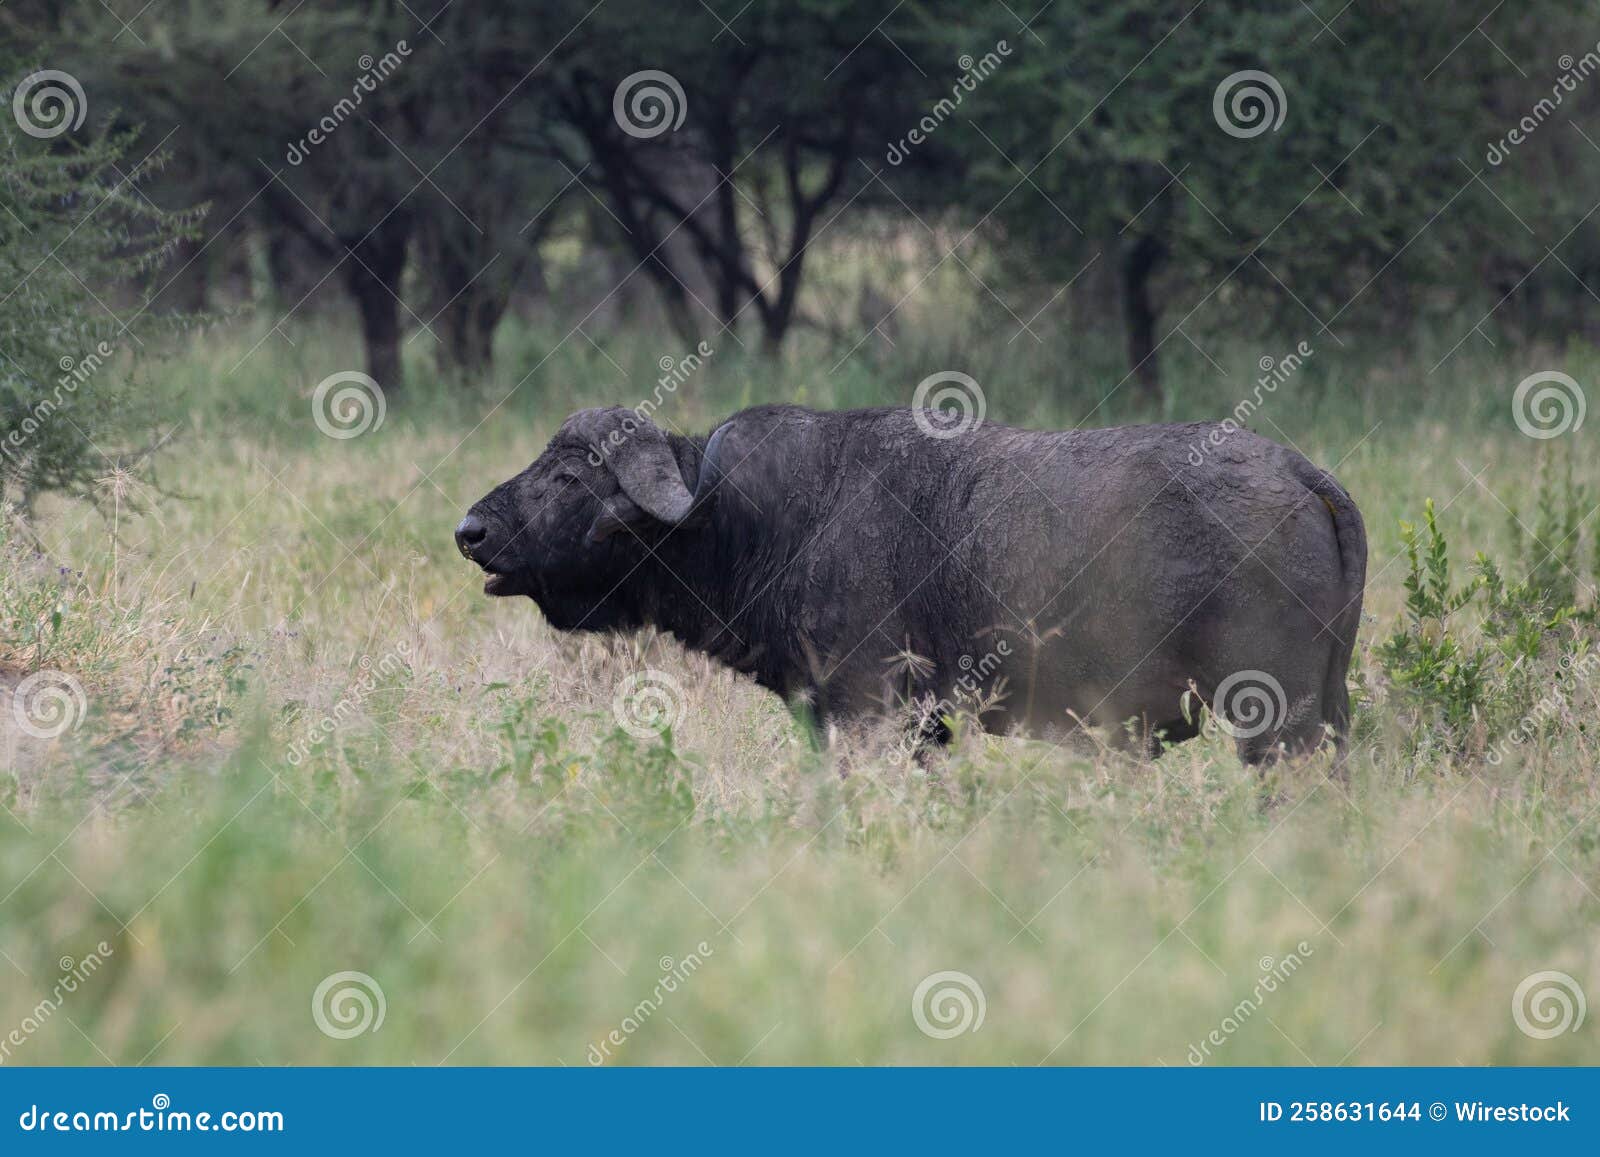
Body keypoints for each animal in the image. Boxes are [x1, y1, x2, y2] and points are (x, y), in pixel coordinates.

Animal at [456, 405, 1366, 760]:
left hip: (1275, 721)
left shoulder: (868, 716)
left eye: (571, 476)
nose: (470, 530)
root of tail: (1301, 472)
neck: (754, 519)